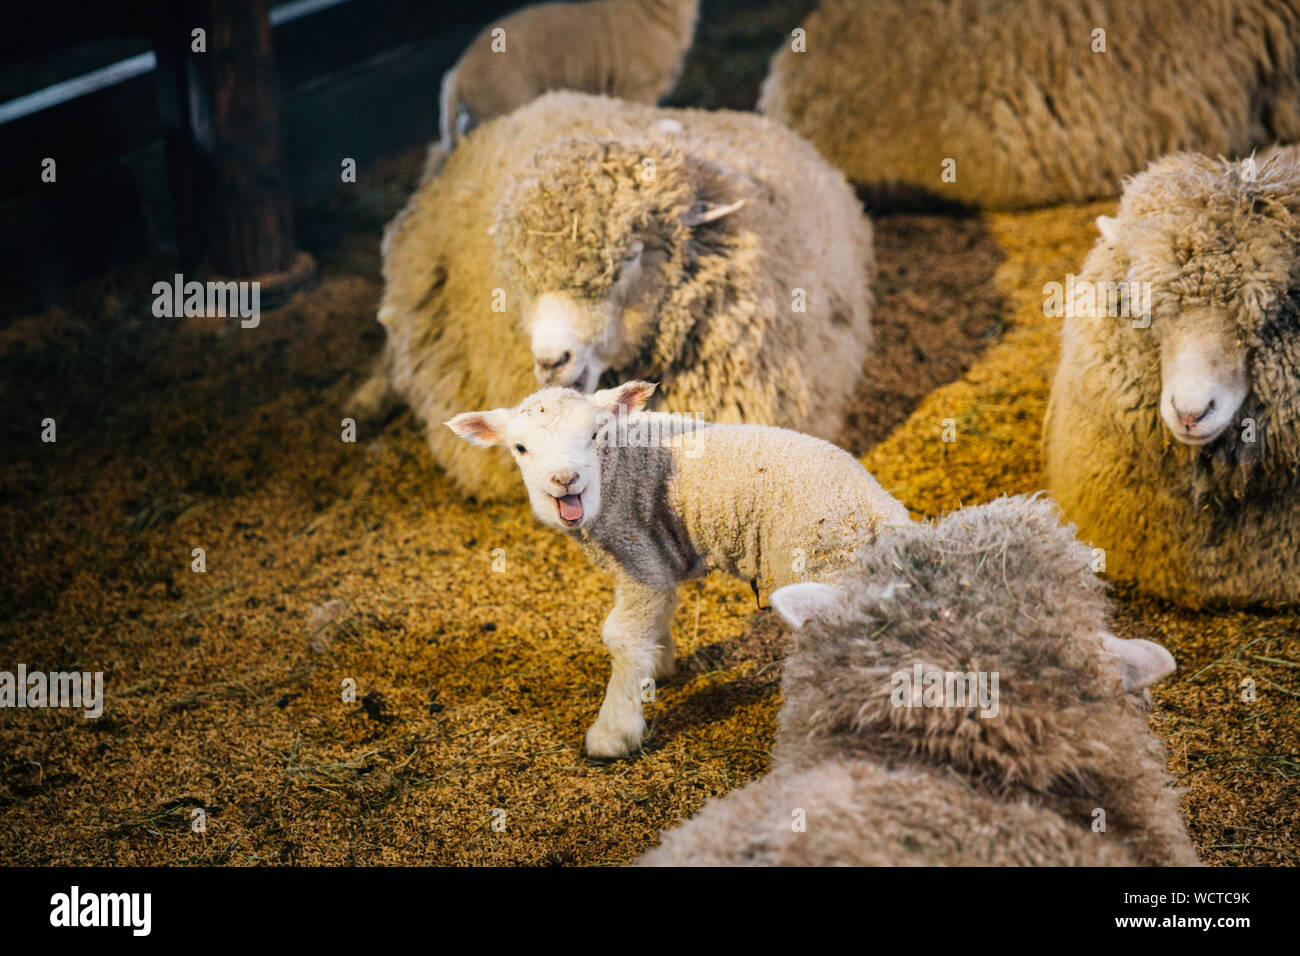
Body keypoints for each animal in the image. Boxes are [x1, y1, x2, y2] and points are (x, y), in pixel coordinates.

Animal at [446, 380, 911, 758]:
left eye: (595, 434)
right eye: (520, 449)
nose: (565, 479)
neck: (617, 473)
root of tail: (883, 511)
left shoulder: (636, 554)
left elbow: (621, 635)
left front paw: (612, 734)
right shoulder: (655, 557)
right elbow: (658, 614)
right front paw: (659, 665)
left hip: (823, 565)